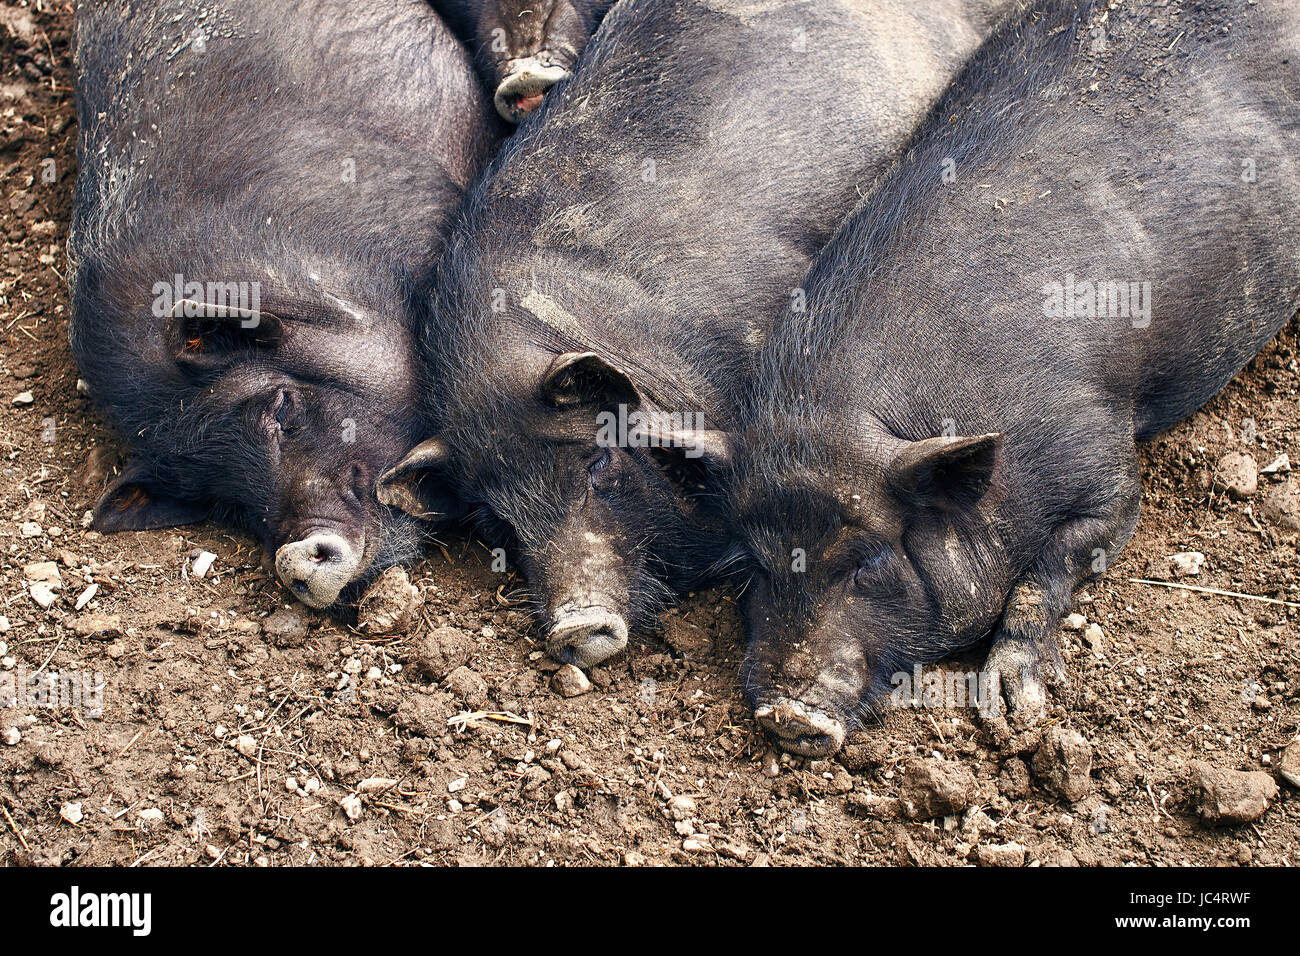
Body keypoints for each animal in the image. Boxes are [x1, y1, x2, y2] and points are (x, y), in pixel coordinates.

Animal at [720, 0, 1300, 755]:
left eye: (867, 564)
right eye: (754, 566)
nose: (787, 716)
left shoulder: (1103, 458)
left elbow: (1064, 556)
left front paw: (1010, 708)